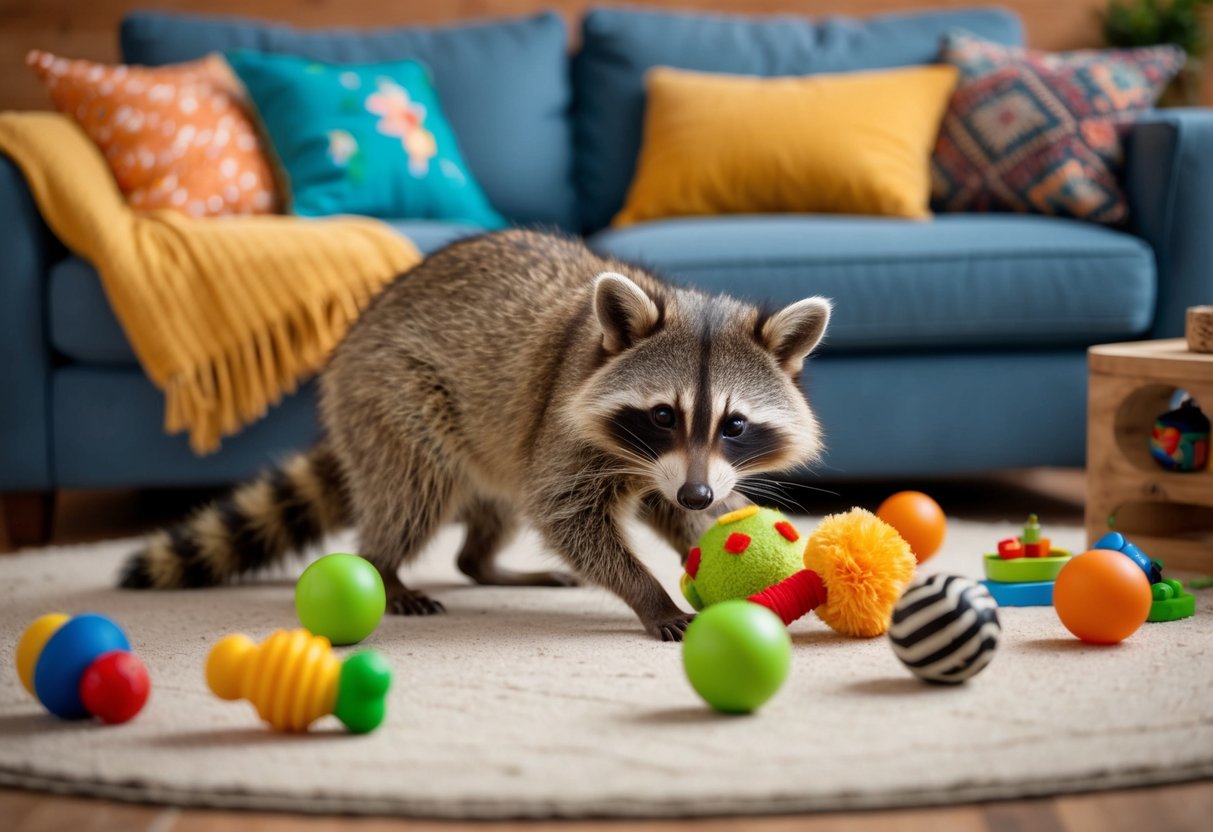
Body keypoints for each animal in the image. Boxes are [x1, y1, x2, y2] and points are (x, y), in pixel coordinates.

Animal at [120, 230, 831, 640]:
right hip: (395, 396)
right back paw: (386, 568)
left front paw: (707, 531)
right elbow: (565, 514)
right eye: (662, 416)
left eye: (734, 425)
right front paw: (647, 593)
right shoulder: (565, 424)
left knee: (491, 506)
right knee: (414, 488)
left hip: (489, 439)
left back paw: (485, 564)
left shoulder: (668, 468)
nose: (698, 495)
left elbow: (664, 508)